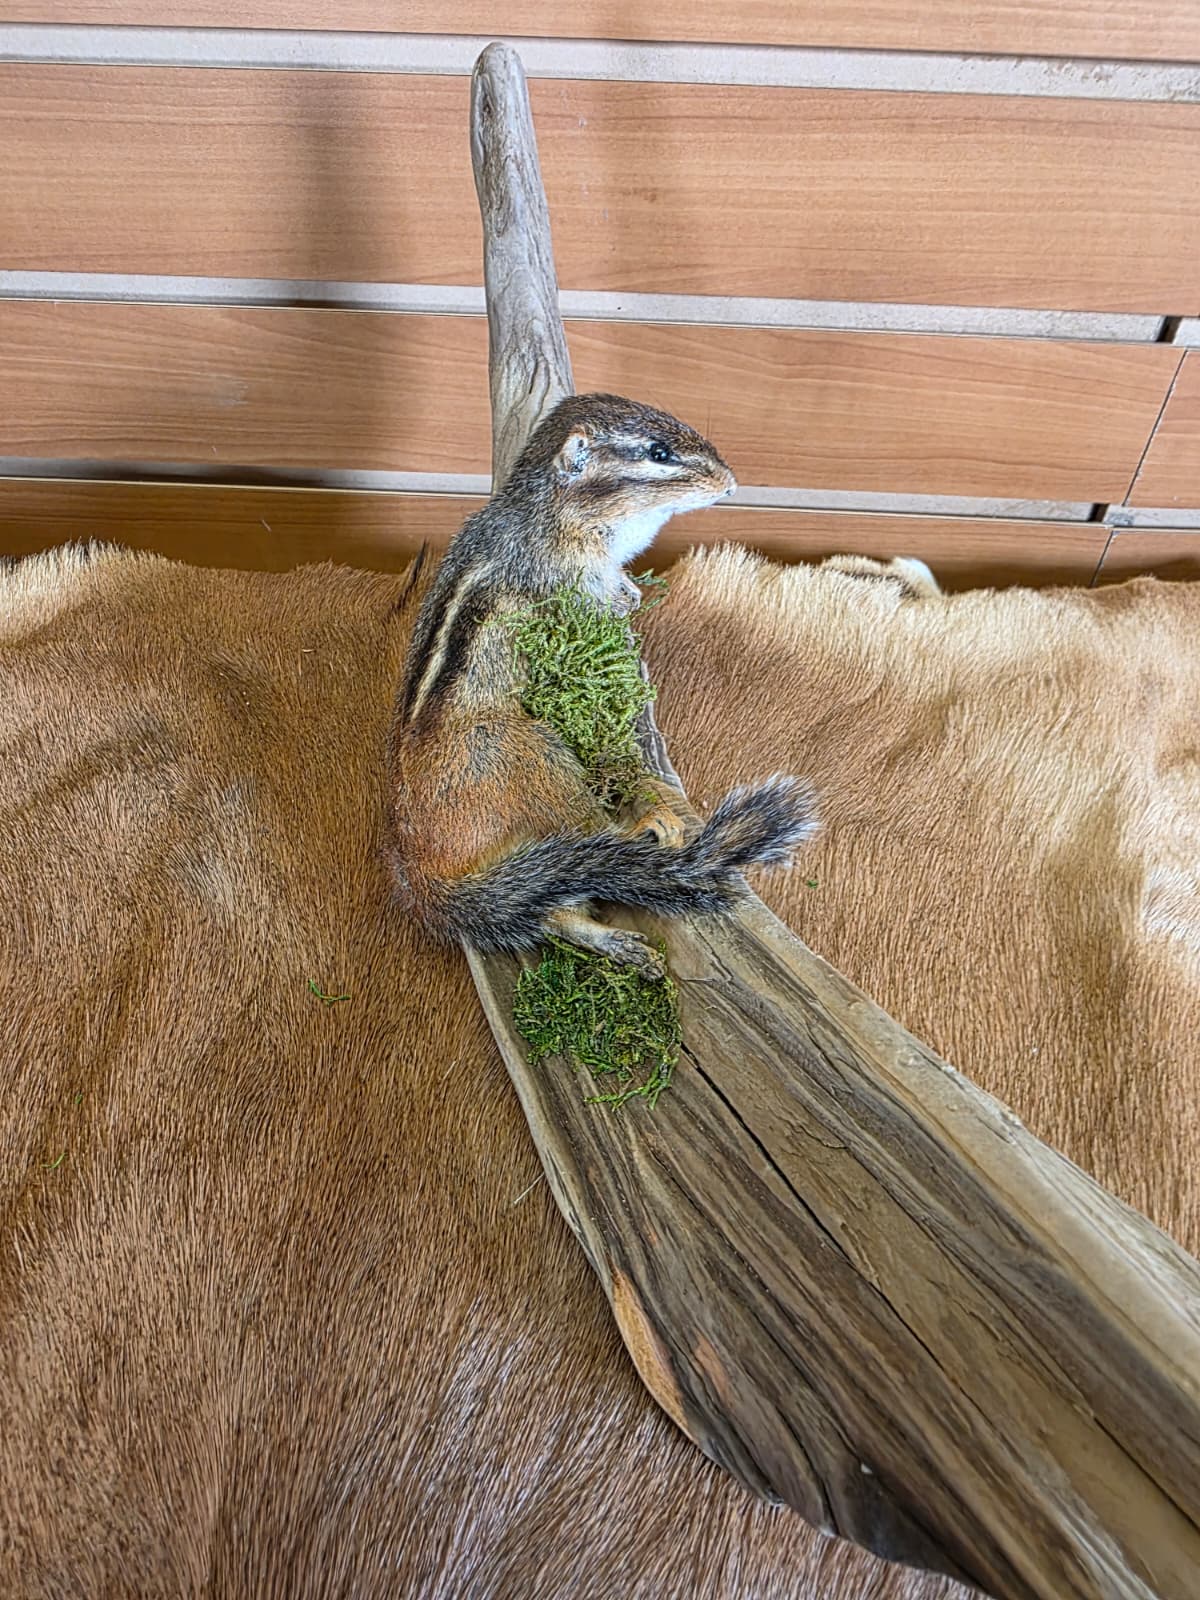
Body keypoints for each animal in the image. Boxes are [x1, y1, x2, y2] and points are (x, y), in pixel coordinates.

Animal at [390, 392, 818, 976]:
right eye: (658, 452)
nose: (731, 483)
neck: (550, 509)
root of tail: (425, 875)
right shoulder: (569, 579)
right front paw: (622, 598)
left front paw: (631, 590)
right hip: (530, 752)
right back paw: (644, 826)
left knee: (553, 913)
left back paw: (619, 943)